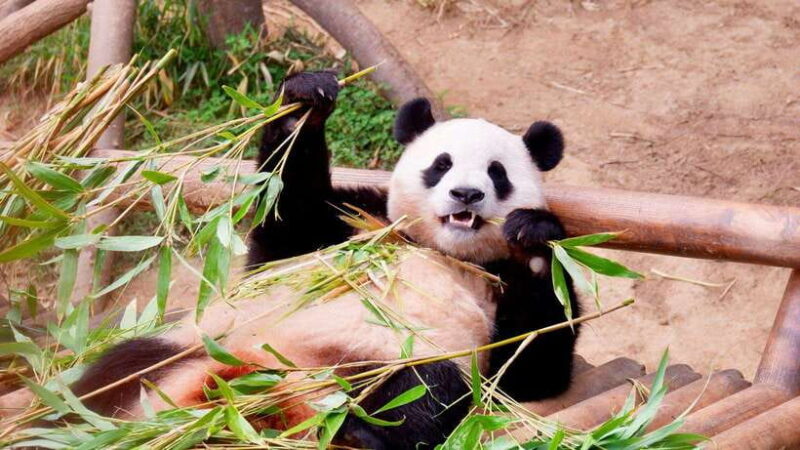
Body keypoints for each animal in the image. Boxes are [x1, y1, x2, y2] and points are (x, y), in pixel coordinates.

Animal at [72, 71, 578, 449]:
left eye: (497, 172)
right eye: (441, 164)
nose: (467, 195)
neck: (440, 248)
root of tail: (259, 393)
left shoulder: (493, 288)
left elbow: (534, 367)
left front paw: (533, 239)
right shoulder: (353, 222)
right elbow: (284, 221)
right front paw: (305, 102)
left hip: (396, 361)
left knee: (424, 393)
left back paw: (357, 435)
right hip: (190, 344)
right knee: (108, 378)